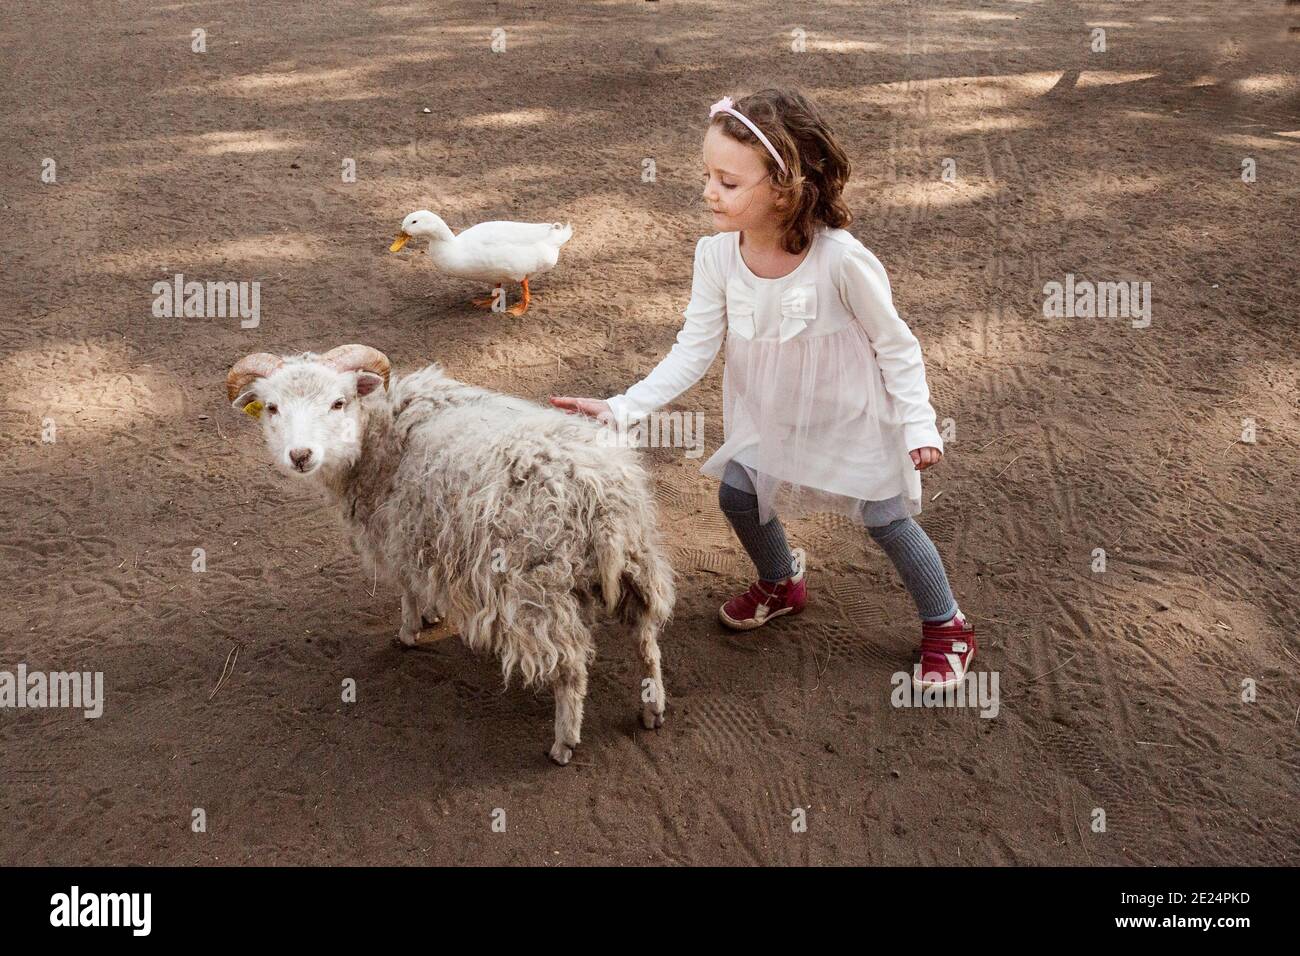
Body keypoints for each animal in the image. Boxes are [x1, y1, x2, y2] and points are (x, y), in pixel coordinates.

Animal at [226, 344, 673, 765]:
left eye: (339, 402)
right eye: (272, 407)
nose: (301, 456)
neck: (382, 431)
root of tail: (597, 496)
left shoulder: (399, 535)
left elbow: (407, 589)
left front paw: (409, 631)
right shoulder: (429, 536)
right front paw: (433, 615)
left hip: (538, 585)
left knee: (571, 669)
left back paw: (564, 741)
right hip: (637, 564)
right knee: (646, 641)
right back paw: (652, 707)